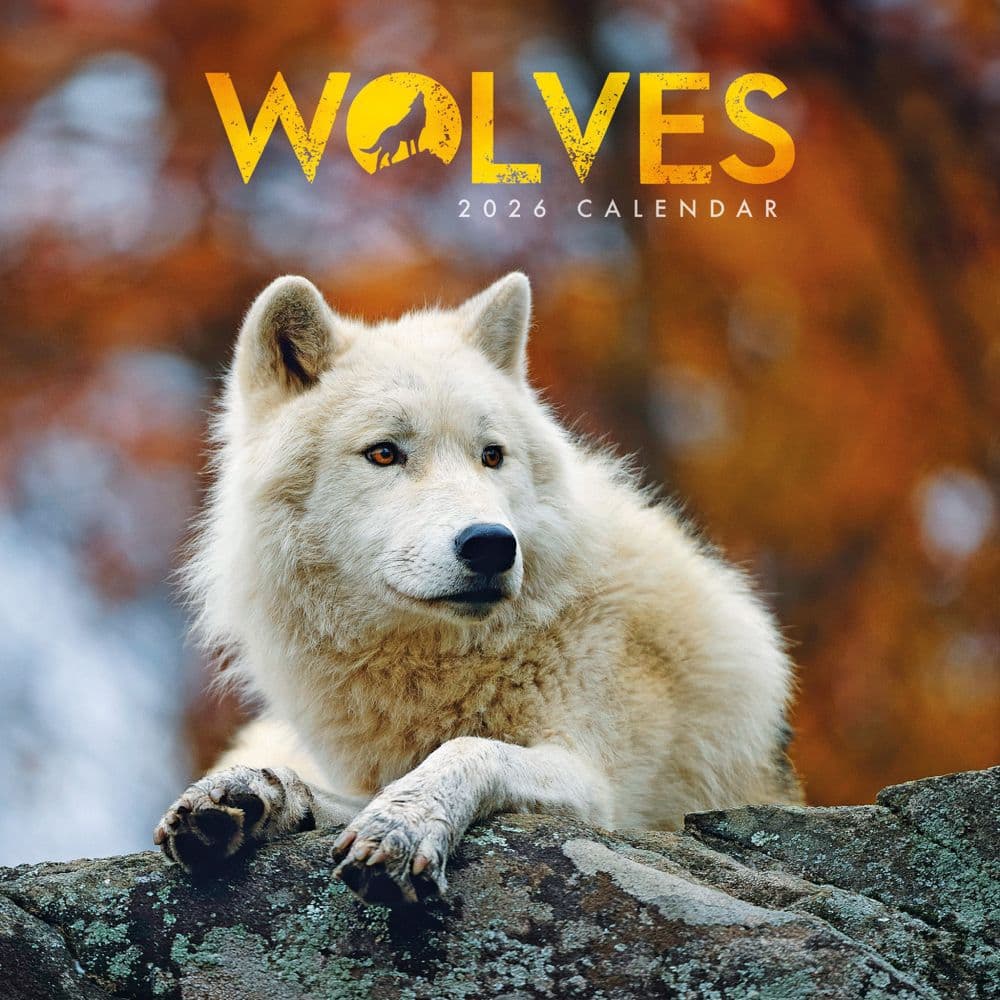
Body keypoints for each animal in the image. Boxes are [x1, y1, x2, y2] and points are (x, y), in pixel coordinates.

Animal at [155, 272, 802, 904]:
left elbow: (468, 749)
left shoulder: (598, 789)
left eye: (492, 456)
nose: (492, 544)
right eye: (384, 453)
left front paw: (401, 825)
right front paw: (250, 797)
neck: (445, 664)